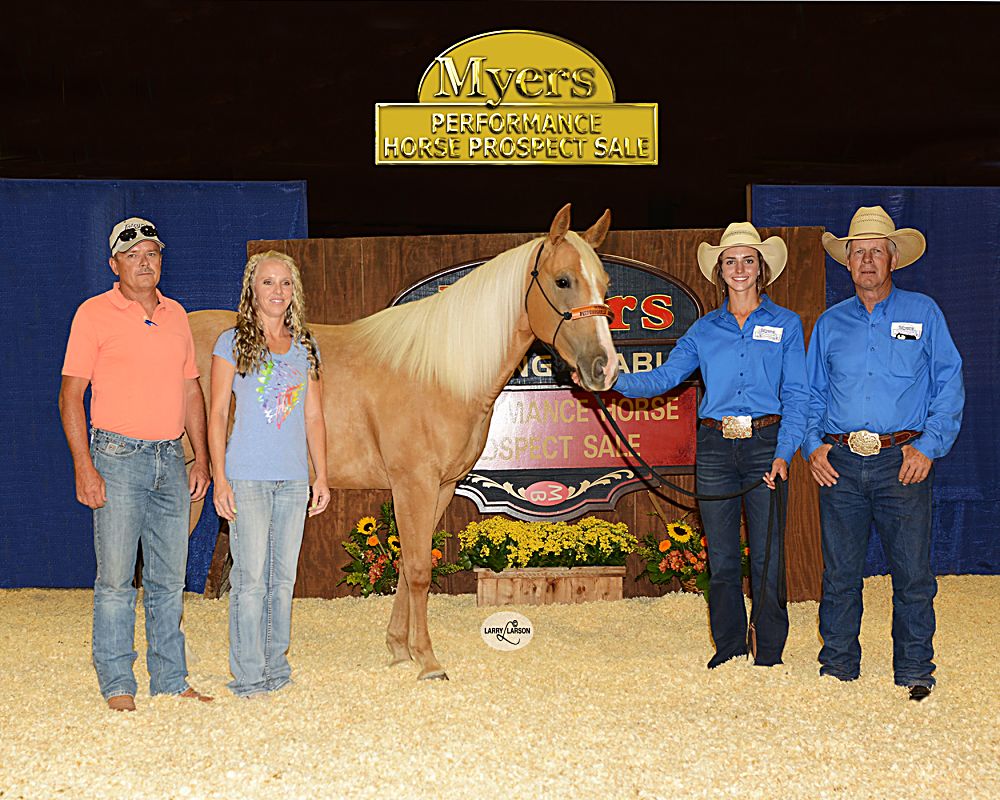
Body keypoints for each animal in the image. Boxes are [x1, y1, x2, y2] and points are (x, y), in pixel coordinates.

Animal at [187, 204, 619, 679]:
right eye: (563, 281)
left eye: (605, 284)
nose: (604, 366)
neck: (439, 371)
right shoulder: (414, 483)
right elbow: (417, 570)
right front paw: (428, 662)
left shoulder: (440, 486)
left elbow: (410, 565)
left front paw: (398, 648)